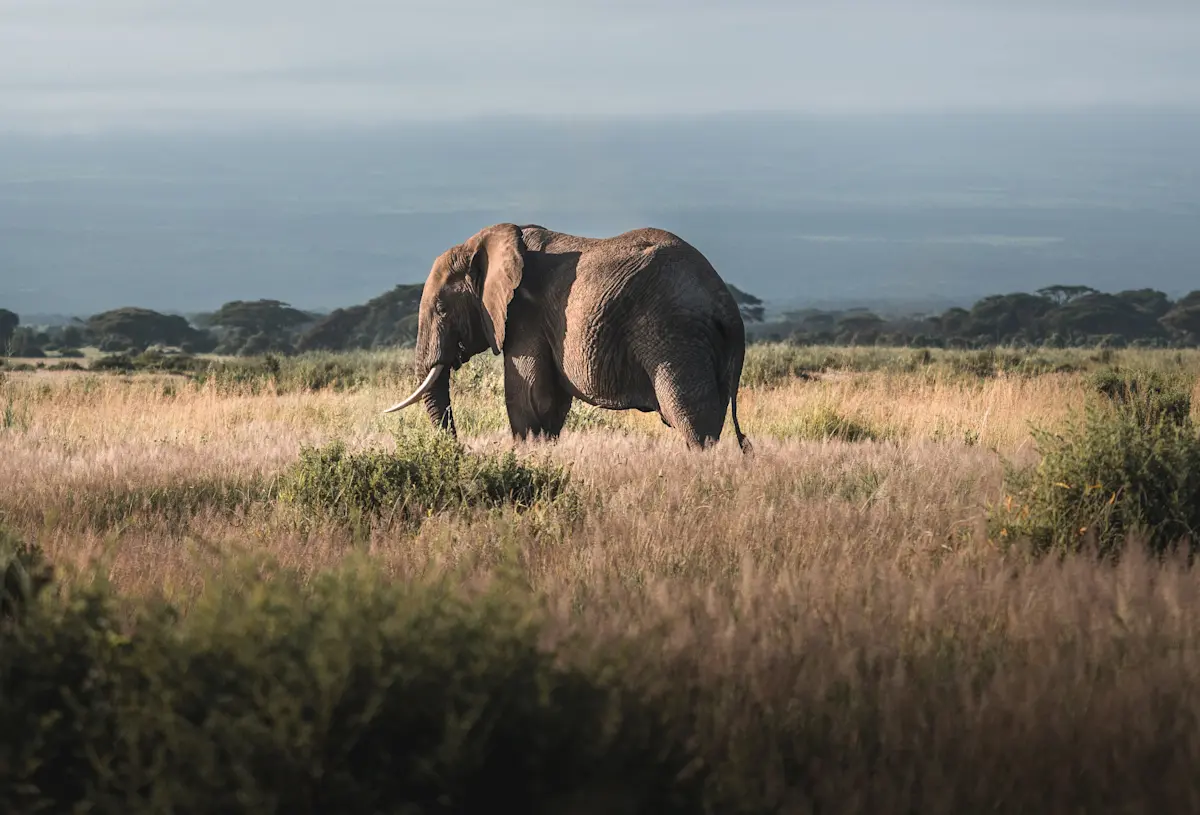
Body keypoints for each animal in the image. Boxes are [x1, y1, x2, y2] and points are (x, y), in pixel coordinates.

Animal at [382, 223, 752, 452]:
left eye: (442, 310)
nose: (462, 449)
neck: (483, 242)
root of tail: (726, 304)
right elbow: (551, 402)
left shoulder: (524, 315)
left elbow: (530, 397)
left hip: (674, 337)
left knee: (691, 418)